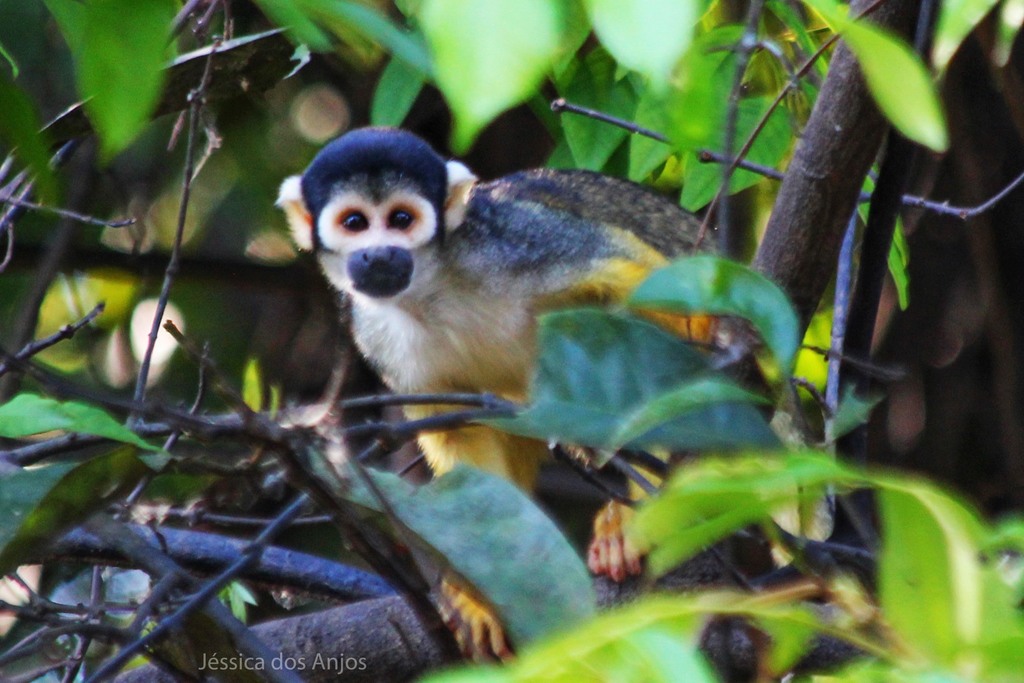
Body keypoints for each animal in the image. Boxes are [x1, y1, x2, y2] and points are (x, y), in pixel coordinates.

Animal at [277, 127, 714, 658]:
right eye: (354, 223)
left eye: (401, 220)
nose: (379, 254)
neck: (431, 290)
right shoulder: (374, 332)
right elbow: (461, 436)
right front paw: (488, 591)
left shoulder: (514, 245)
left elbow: (627, 269)